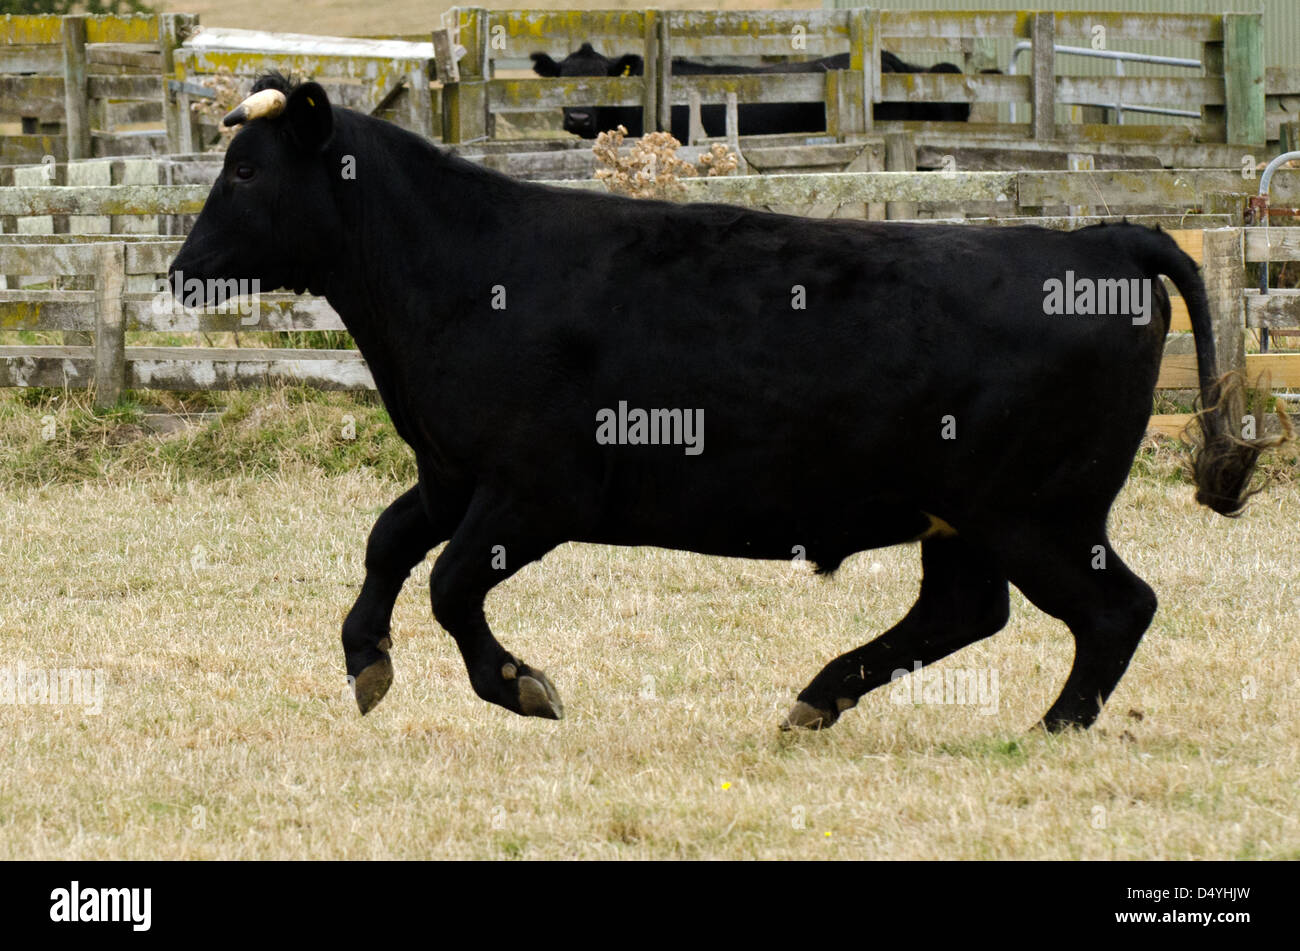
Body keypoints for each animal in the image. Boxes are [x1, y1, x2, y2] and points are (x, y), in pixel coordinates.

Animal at [171, 73, 1284, 735]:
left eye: (246, 170)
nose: (182, 269)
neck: (468, 267)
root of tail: (1101, 238)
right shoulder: (451, 474)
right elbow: (388, 545)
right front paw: (367, 659)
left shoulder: (533, 492)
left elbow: (447, 583)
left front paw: (522, 686)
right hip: (971, 518)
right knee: (965, 609)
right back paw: (817, 701)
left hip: (1038, 513)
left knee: (1113, 607)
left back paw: (1050, 728)